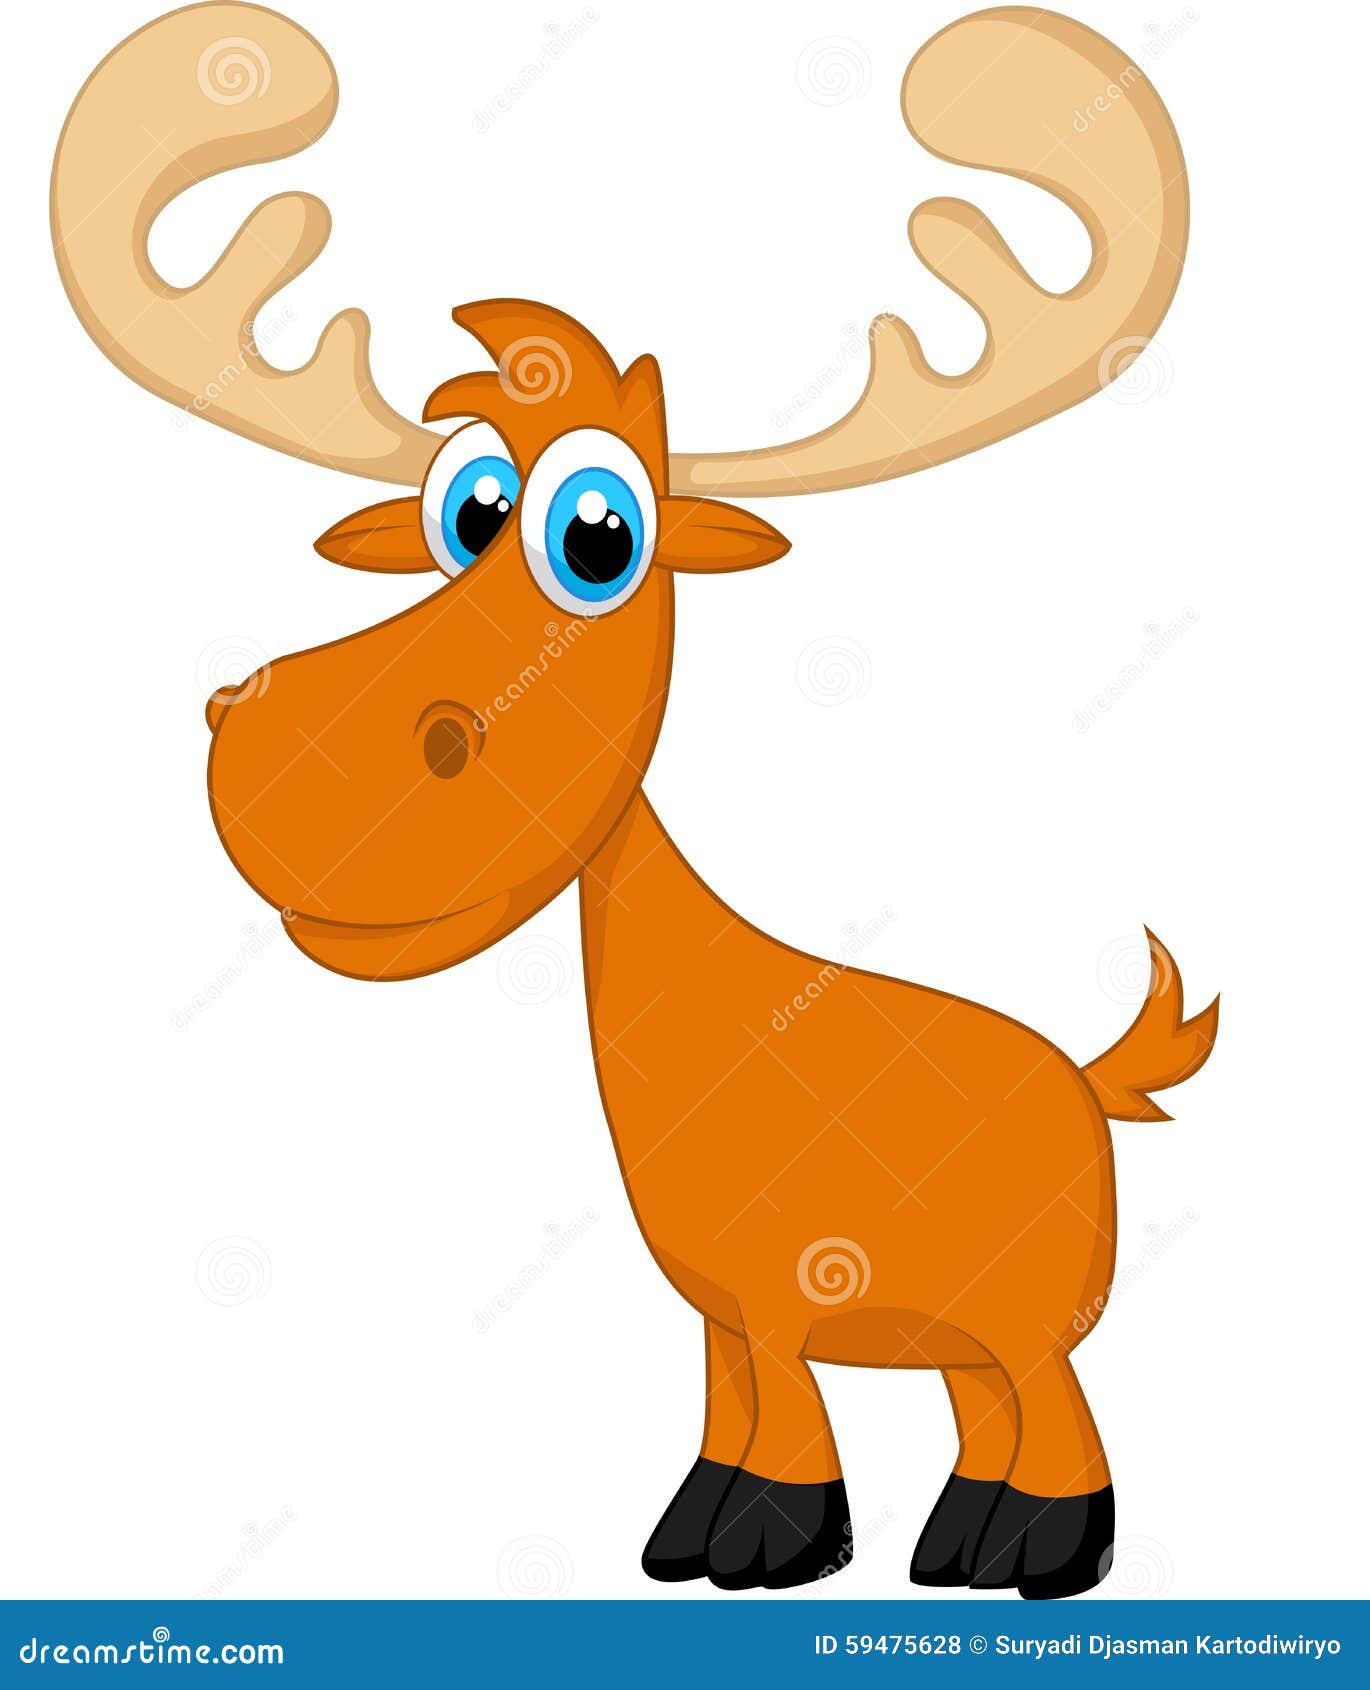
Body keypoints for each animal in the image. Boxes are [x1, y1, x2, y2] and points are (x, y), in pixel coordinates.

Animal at [53, 3, 1216, 1598]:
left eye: (597, 537)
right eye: (463, 514)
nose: (279, 734)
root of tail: (1086, 1072)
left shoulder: (782, 1298)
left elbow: (787, 1418)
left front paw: (779, 1542)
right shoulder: (718, 1309)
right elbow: (726, 1411)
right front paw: (693, 1533)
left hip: (1030, 1306)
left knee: (1056, 1403)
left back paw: (1042, 1548)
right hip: (958, 1325)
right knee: (987, 1405)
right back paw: (958, 1542)